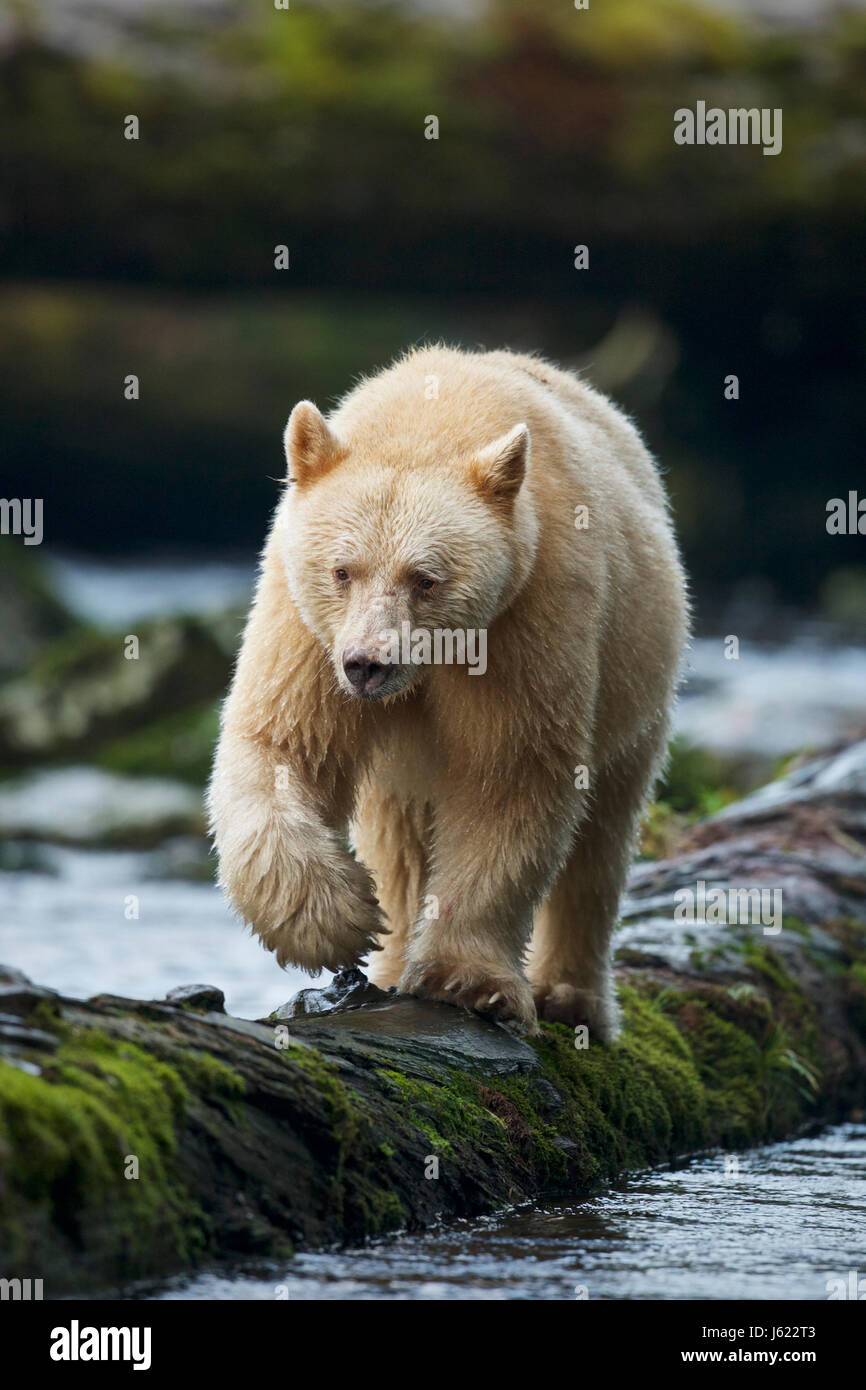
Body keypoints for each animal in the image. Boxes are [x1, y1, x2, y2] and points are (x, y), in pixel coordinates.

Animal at [208, 346, 689, 1039]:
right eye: (341, 570)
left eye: (425, 579)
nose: (366, 666)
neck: (432, 419)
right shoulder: (304, 624)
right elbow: (282, 743)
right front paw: (334, 921)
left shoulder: (528, 614)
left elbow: (509, 778)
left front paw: (467, 982)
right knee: (401, 841)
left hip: (638, 681)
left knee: (602, 841)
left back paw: (572, 997)